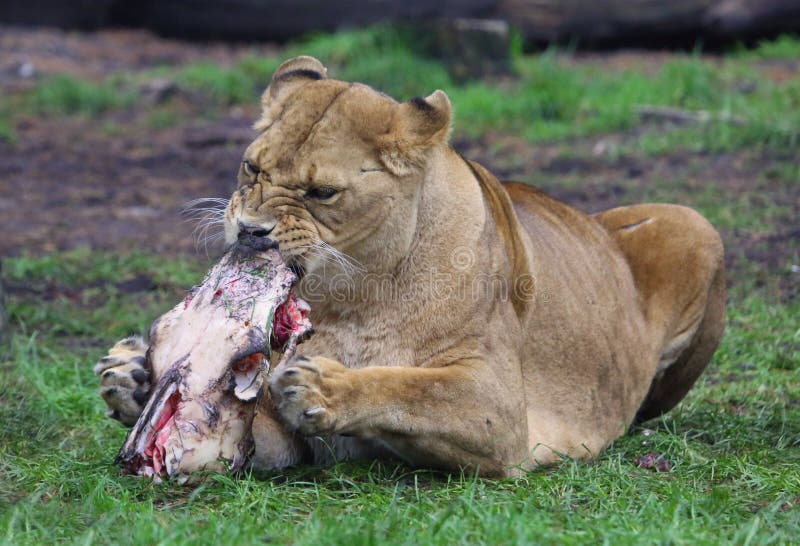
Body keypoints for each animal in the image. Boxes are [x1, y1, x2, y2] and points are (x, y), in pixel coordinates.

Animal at [95, 56, 725, 477]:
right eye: (251, 168)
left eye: (322, 193)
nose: (251, 231)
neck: (353, 293)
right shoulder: (285, 445)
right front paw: (128, 374)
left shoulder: (501, 411)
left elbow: (413, 389)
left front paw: (323, 387)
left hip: (695, 224)